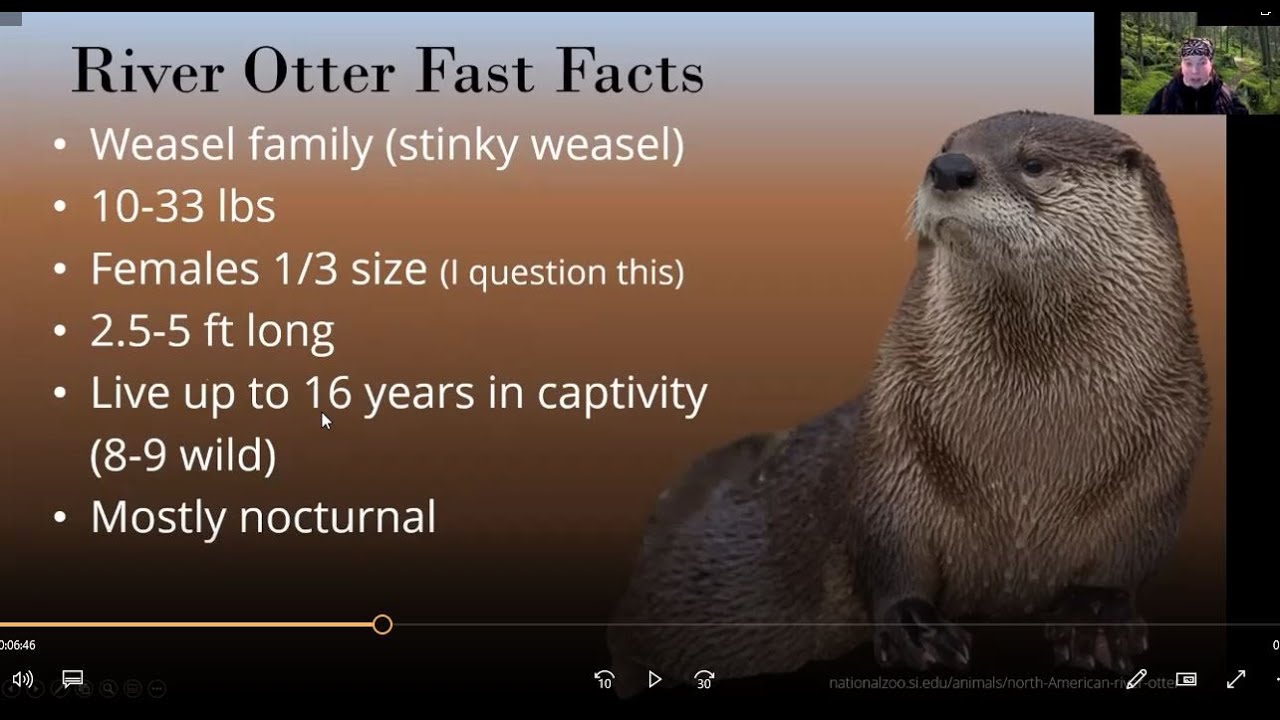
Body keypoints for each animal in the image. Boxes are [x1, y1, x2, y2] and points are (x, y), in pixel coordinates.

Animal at [605, 110, 1211, 697]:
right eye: (947, 144)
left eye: (1034, 163)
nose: (949, 168)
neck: (1025, 461)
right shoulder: (892, 444)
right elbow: (888, 549)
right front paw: (916, 628)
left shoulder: (1163, 462)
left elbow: (1128, 553)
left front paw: (1096, 618)